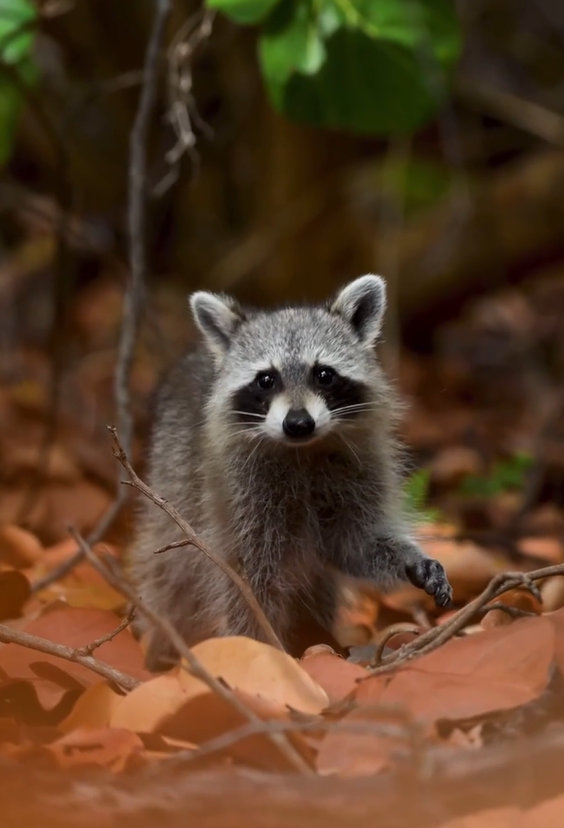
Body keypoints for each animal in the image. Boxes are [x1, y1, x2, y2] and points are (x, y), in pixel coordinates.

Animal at [128, 275, 452, 670]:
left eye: (324, 374)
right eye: (266, 380)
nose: (298, 423)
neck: (302, 451)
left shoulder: (359, 471)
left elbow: (354, 543)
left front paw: (410, 559)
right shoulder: (235, 497)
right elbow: (245, 579)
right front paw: (258, 647)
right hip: (171, 483)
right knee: (171, 575)